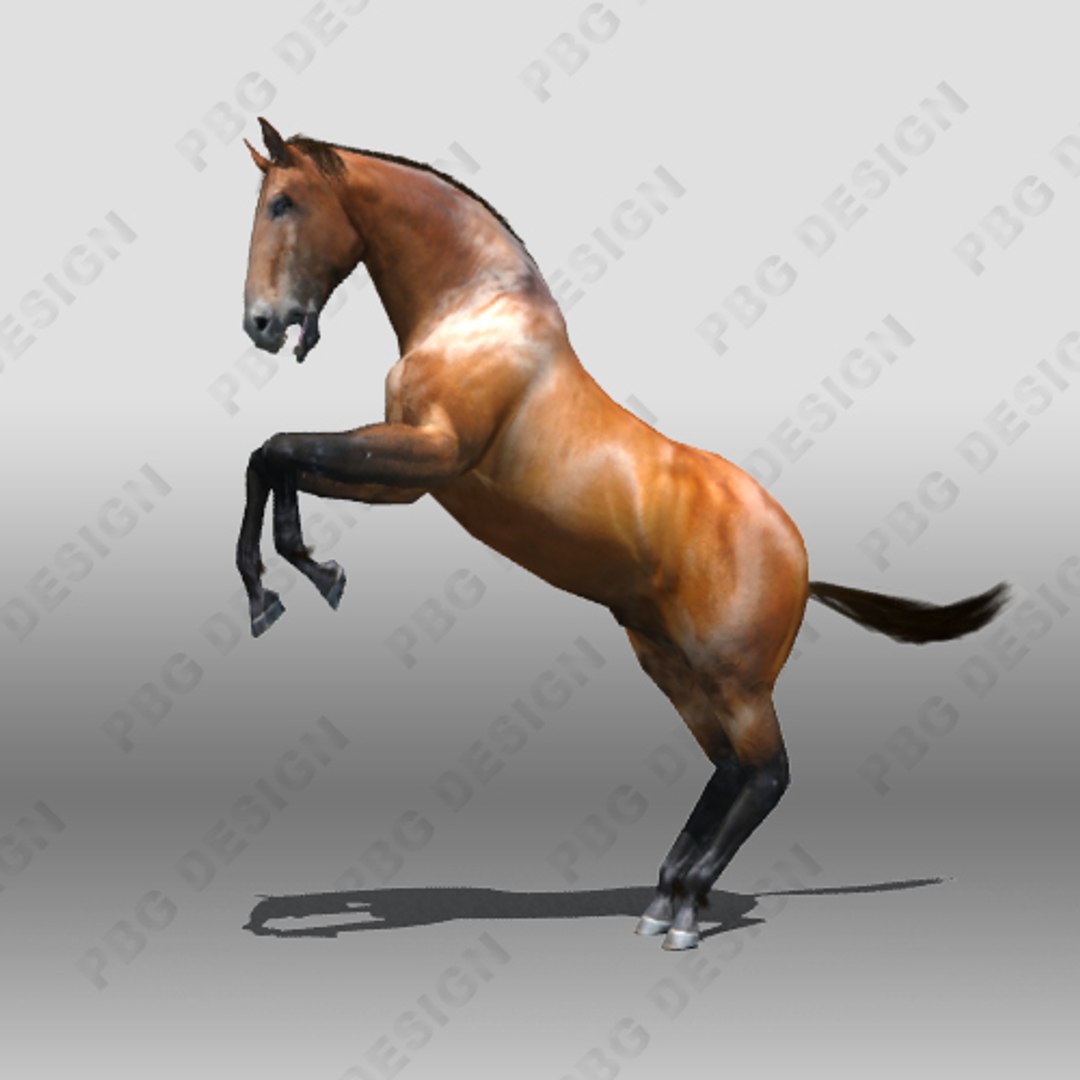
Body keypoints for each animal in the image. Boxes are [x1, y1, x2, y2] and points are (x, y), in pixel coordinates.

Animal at [235, 118, 1008, 951]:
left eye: (284, 202)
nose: (260, 324)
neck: (473, 310)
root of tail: (801, 556)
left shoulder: (435, 455)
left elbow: (278, 449)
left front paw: (290, 583)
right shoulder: (411, 479)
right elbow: (278, 457)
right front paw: (298, 578)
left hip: (737, 682)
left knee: (768, 775)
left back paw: (685, 910)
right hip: (672, 665)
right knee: (731, 772)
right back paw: (665, 897)